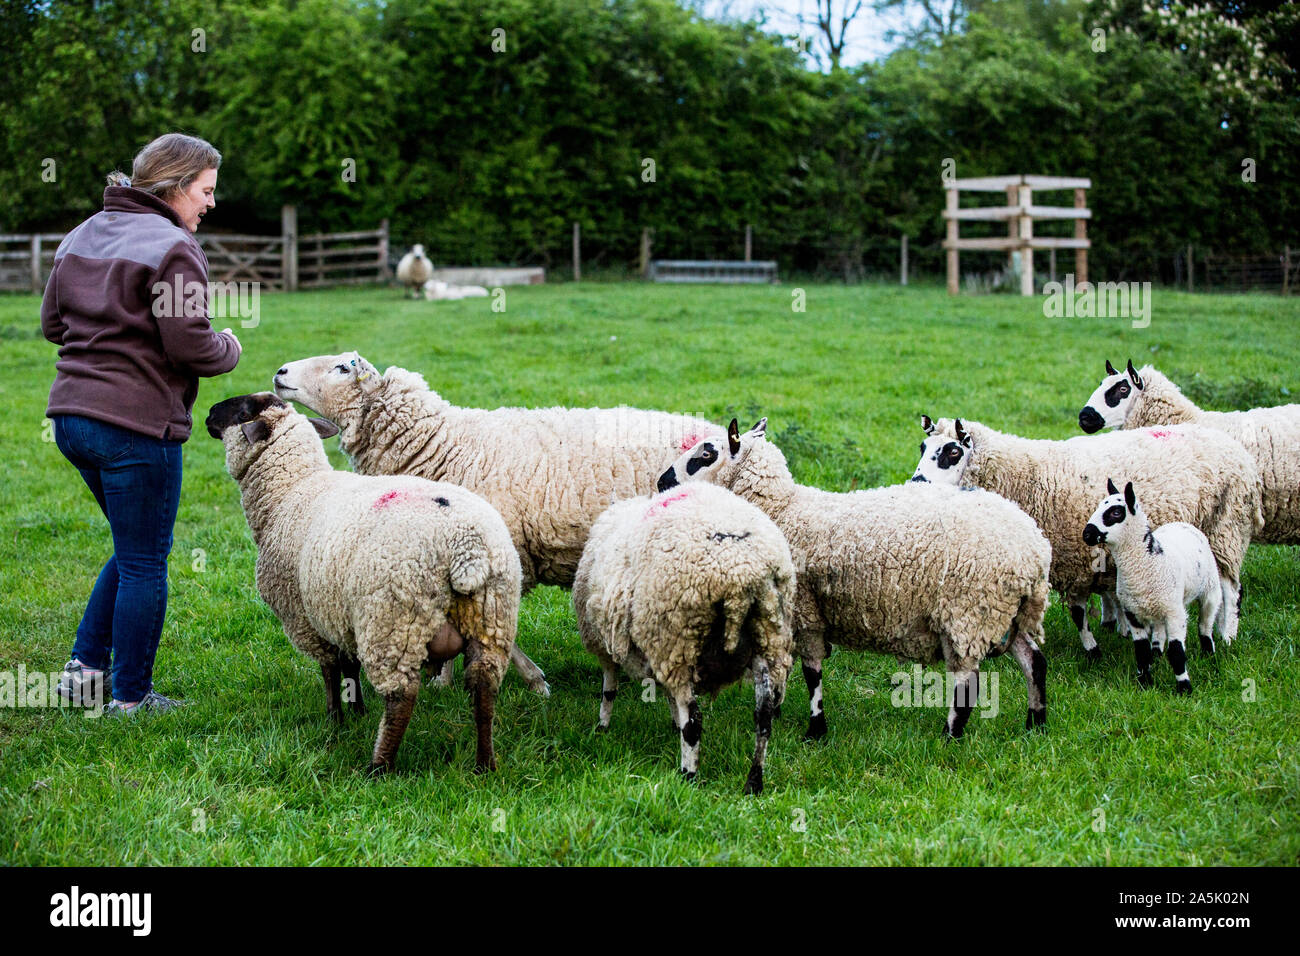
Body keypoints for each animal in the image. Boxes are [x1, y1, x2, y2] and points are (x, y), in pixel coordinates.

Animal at [204, 392, 522, 774]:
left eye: (241, 410)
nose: (208, 414)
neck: (291, 490)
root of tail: (467, 544)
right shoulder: (340, 611)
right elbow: (349, 665)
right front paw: (356, 709)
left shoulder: (305, 616)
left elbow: (329, 669)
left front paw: (334, 719)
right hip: (491, 617)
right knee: (484, 688)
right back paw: (484, 763)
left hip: (393, 621)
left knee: (401, 696)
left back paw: (379, 766)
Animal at [573, 482, 796, 794]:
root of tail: (742, 570)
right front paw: (670, 723)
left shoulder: (603, 641)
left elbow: (609, 686)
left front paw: (602, 724)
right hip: (768, 636)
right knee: (763, 717)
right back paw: (754, 781)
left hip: (677, 640)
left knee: (695, 719)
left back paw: (688, 774)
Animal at [657, 418, 1052, 740]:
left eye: (706, 453)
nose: (663, 482)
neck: (783, 511)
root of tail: (1034, 547)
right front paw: (779, 710)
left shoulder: (806, 611)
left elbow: (812, 673)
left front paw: (815, 731)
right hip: (1004, 613)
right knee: (1034, 661)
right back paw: (1035, 723)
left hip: (969, 612)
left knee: (967, 682)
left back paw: (950, 737)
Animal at [912, 415, 1262, 657]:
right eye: (923, 448)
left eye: (953, 452)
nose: (917, 482)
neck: (1026, 475)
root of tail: (1234, 447)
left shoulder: (1076, 558)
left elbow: (1078, 612)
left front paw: (1092, 648)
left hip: (1225, 530)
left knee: (1231, 589)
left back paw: (1227, 635)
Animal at [1084, 479, 1223, 693]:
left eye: (1116, 512)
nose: (1087, 533)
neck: (1148, 563)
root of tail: (1182, 523)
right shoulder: (1132, 612)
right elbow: (1141, 651)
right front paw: (1145, 682)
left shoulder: (1175, 613)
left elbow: (1177, 652)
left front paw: (1184, 688)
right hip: (1156, 605)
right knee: (1158, 630)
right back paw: (1157, 654)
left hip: (1210, 589)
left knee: (1205, 625)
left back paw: (1209, 654)